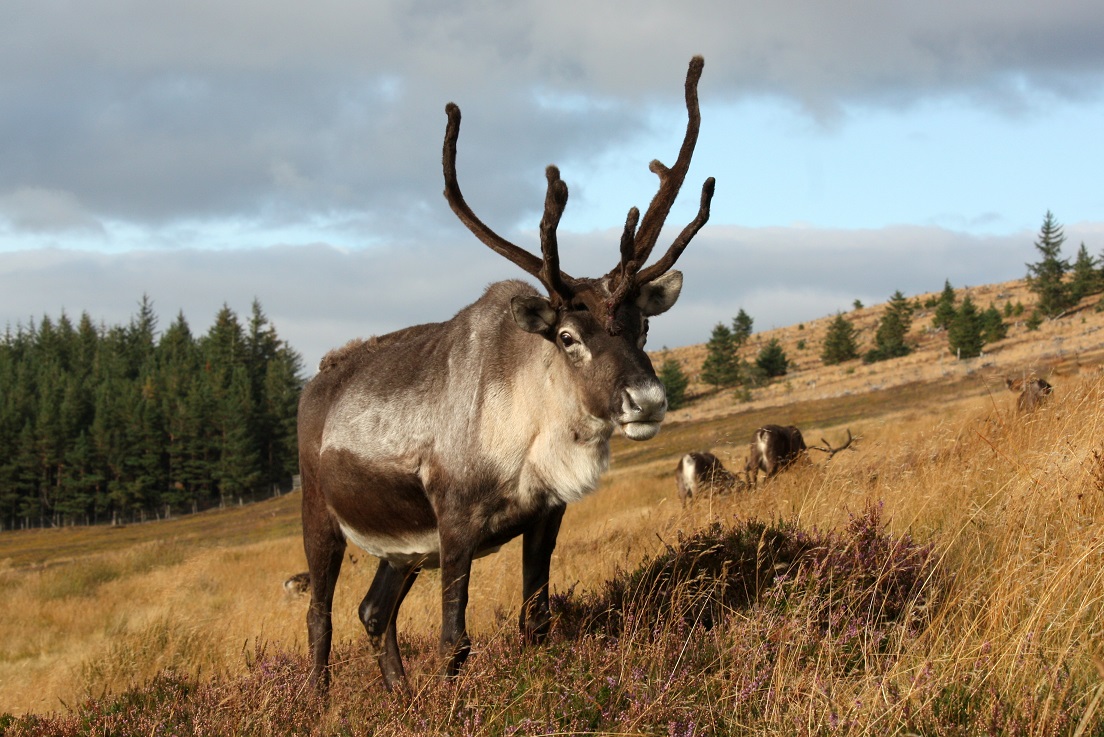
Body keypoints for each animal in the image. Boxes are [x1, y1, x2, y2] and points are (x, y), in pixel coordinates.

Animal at [296, 57, 714, 694]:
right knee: (320, 617)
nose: (645, 400)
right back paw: (320, 703)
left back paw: (400, 697)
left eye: (643, 326)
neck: (527, 430)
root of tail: (312, 384)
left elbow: (535, 619)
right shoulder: (454, 522)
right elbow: (454, 640)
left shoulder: (544, 515)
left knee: (372, 610)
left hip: (403, 548)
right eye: (567, 338)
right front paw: (450, 703)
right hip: (320, 513)